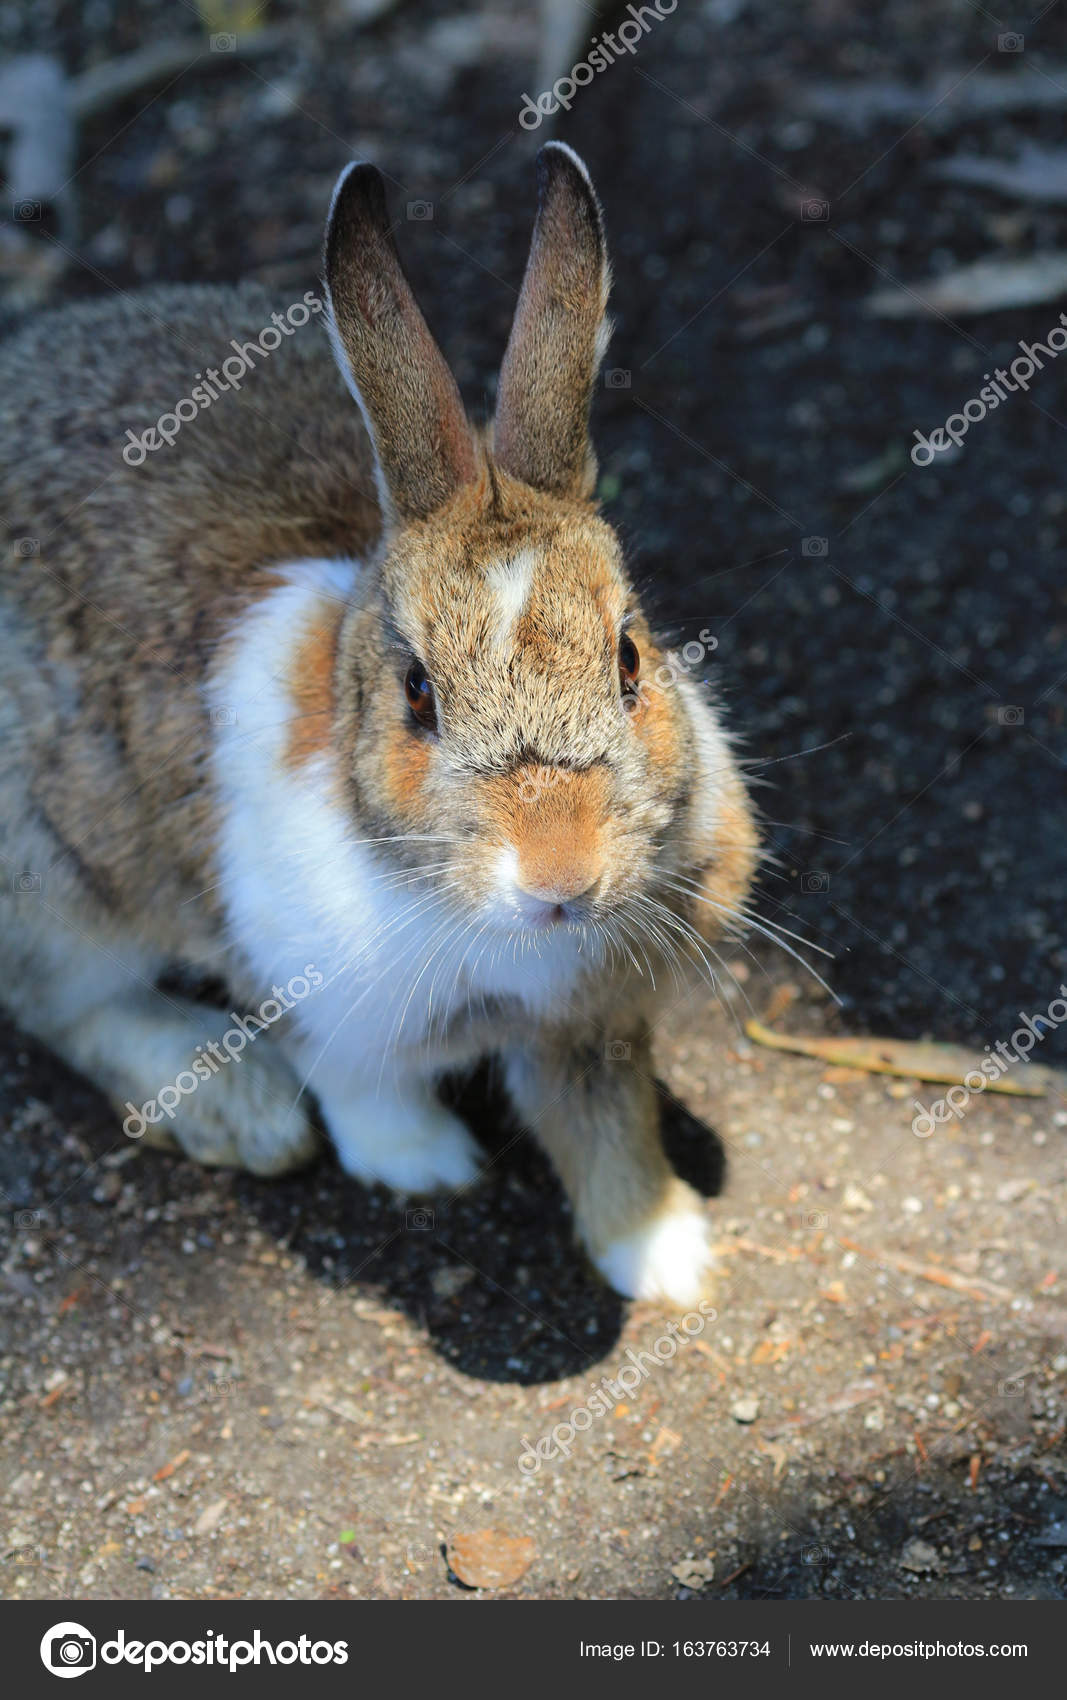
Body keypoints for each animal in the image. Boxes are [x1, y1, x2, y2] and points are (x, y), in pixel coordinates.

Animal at [0, 142, 758, 1306]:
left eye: (630, 658)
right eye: (417, 695)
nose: (561, 874)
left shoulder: (593, 1024)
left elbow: (604, 1121)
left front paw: (662, 1255)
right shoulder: (308, 989)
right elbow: (360, 1086)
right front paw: (426, 1165)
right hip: (52, 881)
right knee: (64, 1004)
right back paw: (242, 1109)